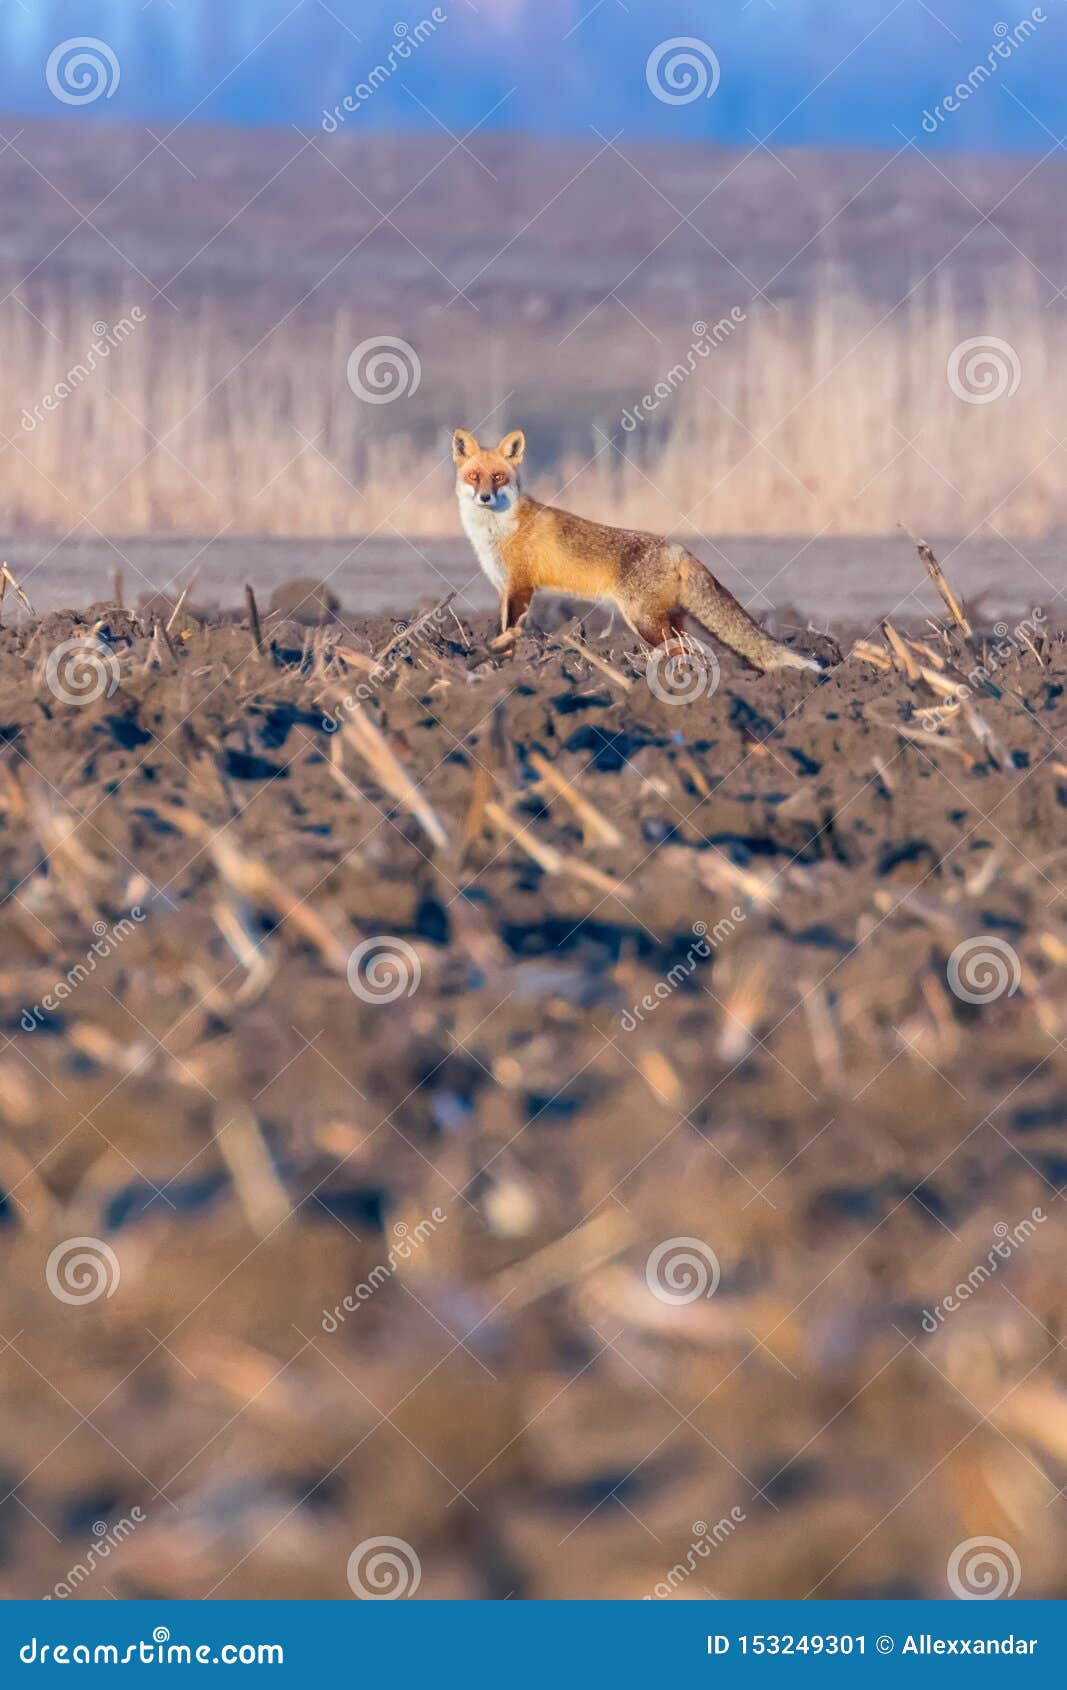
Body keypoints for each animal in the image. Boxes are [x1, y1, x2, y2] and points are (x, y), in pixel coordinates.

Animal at [452, 427, 820, 673]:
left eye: (498, 477)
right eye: (474, 476)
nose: (484, 497)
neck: (496, 531)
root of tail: (677, 548)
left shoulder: (521, 587)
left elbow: (509, 632)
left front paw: (504, 667)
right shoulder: (505, 588)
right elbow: (503, 629)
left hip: (644, 621)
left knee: (685, 652)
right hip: (669, 620)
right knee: (693, 651)